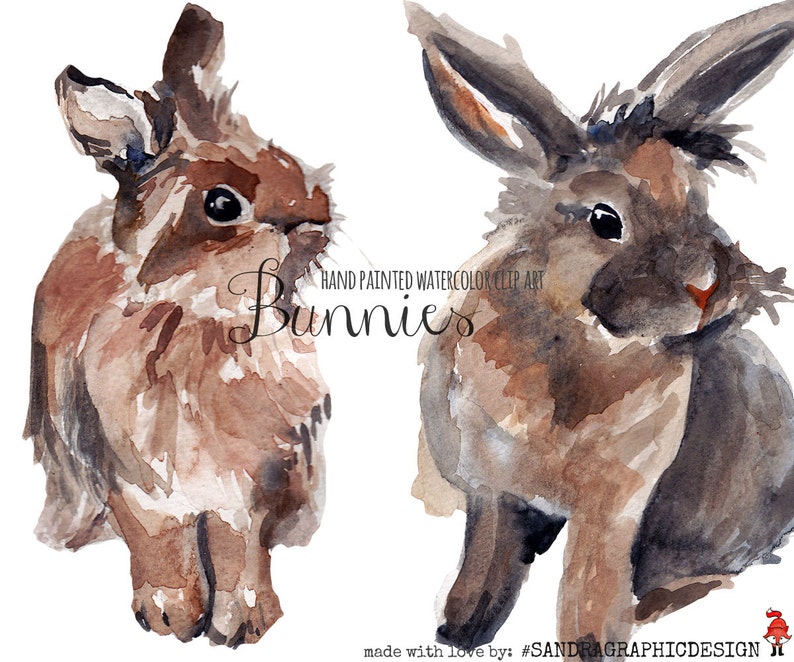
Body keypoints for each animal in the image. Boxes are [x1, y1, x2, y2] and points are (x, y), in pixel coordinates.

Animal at [24, 3, 335, 647]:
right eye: (221, 205)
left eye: (282, 156)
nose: (316, 221)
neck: (194, 316)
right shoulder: (134, 479)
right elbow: (159, 543)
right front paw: (170, 617)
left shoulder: (248, 483)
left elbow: (239, 547)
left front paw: (245, 621)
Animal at [407, 0, 794, 655]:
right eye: (604, 220)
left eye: (697, 200)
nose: (707, 287)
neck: (579, 340)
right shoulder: (492, 490)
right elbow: (487, 559)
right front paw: (460, 629)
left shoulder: (615, 507)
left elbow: (591, 584)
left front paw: (592, 647)